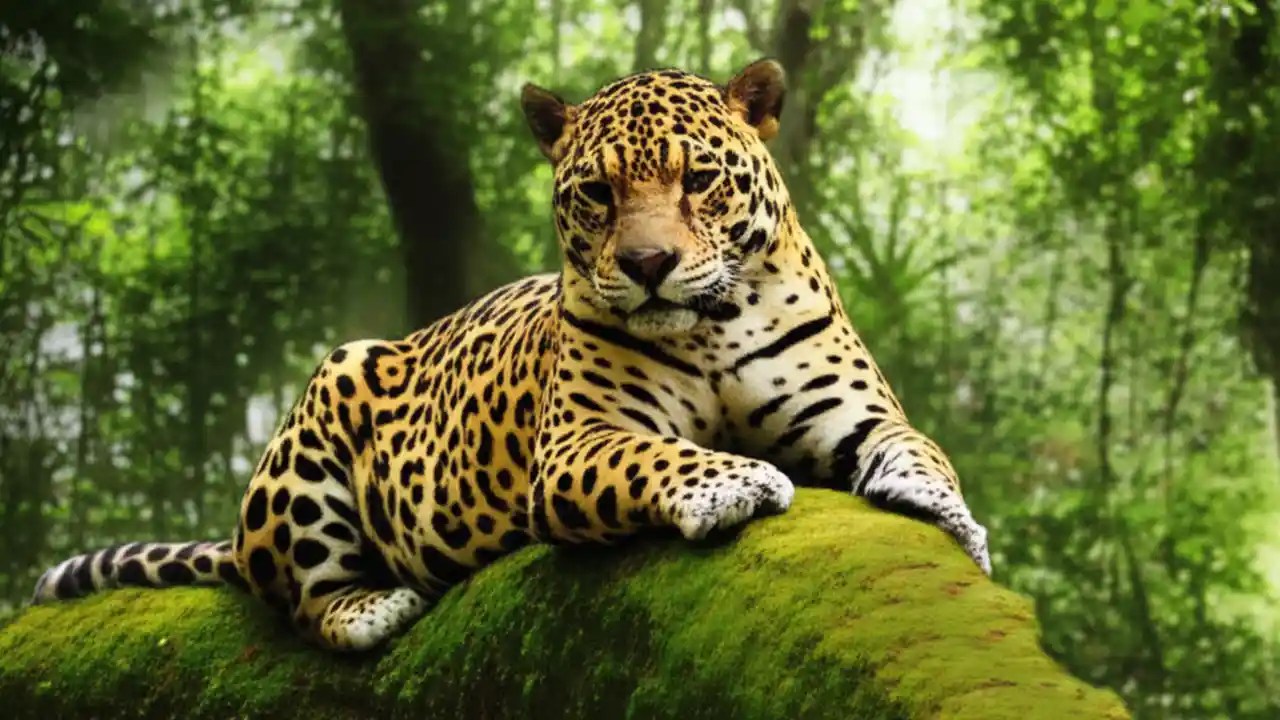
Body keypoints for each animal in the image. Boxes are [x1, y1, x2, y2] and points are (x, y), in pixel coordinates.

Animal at [31, 59, 991, 652]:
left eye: (699, 180)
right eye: (596, 192)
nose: (648, 265)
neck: (709, 324)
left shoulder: (859, 416)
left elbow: (922, 448)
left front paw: (952, 517)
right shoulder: (577, 444)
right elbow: (657, 454)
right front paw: (735, 481)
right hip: (330, 390)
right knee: (308, 602)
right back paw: (375, 603)